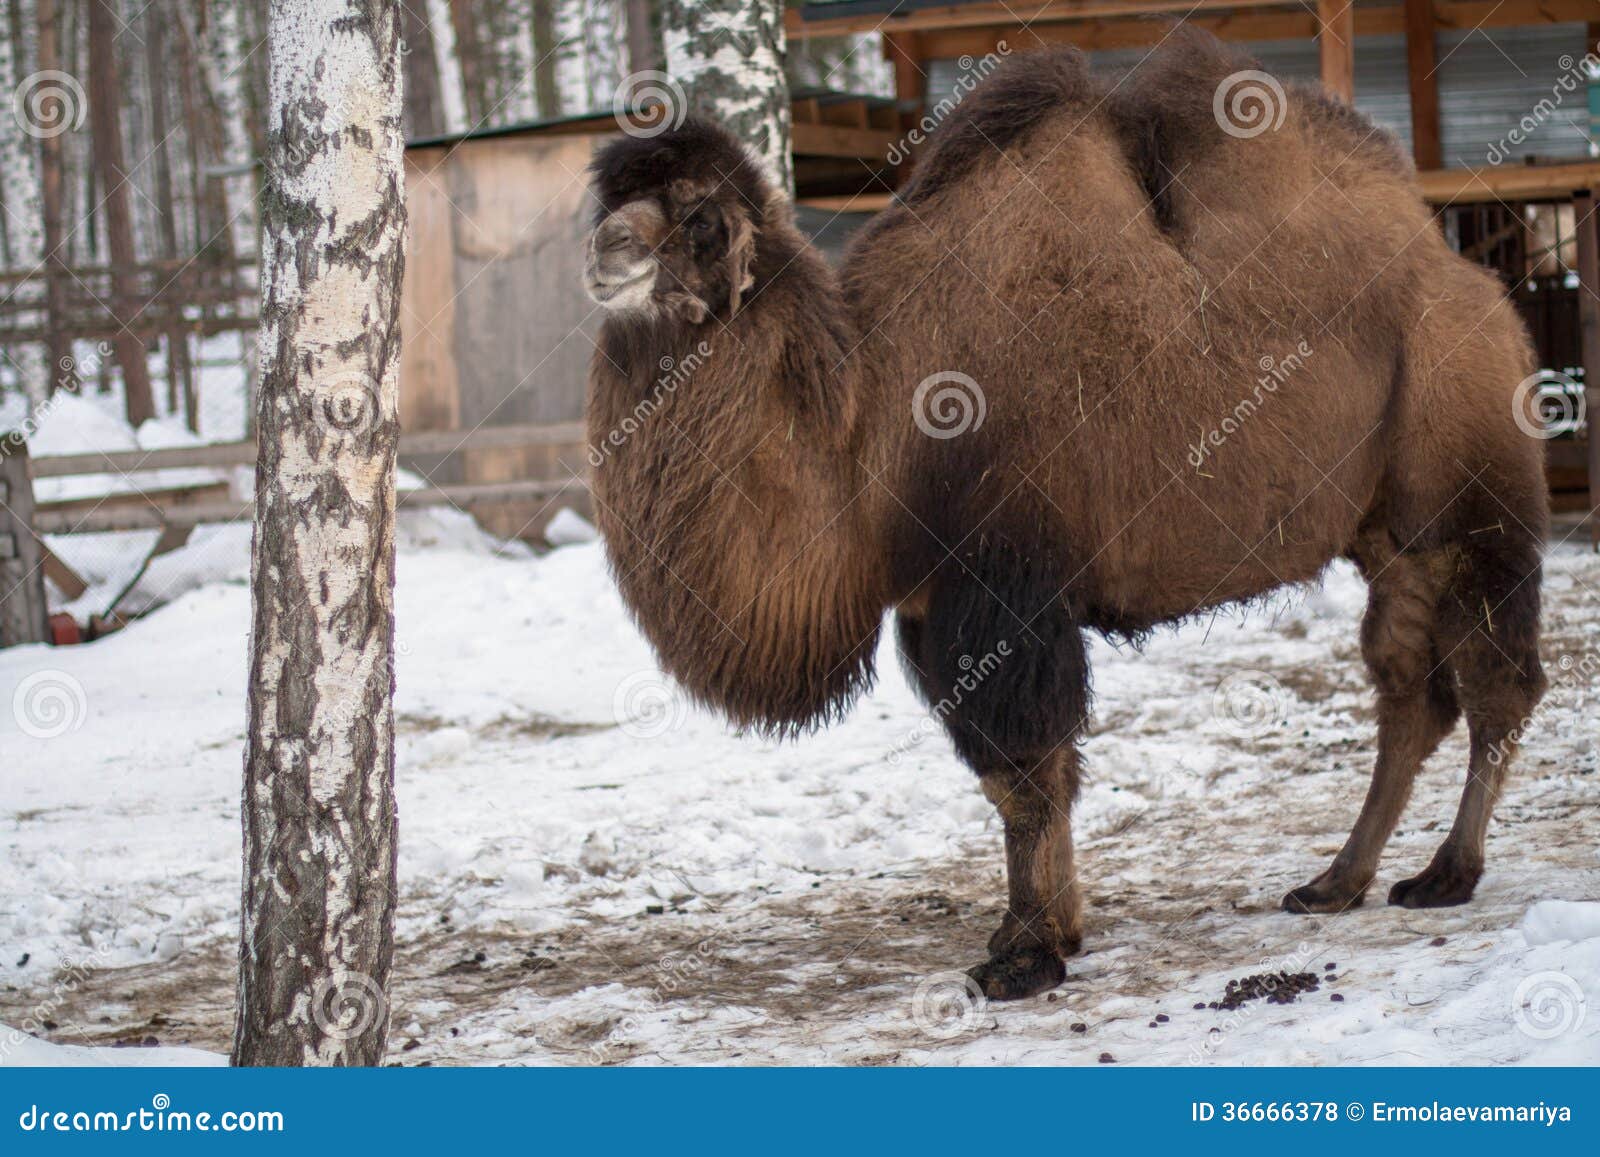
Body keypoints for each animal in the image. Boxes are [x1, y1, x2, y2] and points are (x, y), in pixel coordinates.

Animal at [580, 29, 1549, 1001]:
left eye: (702, 220)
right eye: (613, 204)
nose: (605, 251)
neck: (873, 424)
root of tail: (1474, 281)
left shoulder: (1004, 588)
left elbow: (1027, 769)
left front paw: (1027, 953)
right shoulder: (933, 606)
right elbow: (1021, 776)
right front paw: (1050, 928)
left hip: (1472, 492)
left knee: (1498, 677)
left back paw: (1446, 874)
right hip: (1386, 530)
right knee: (1411, 686)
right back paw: (1336, 881)